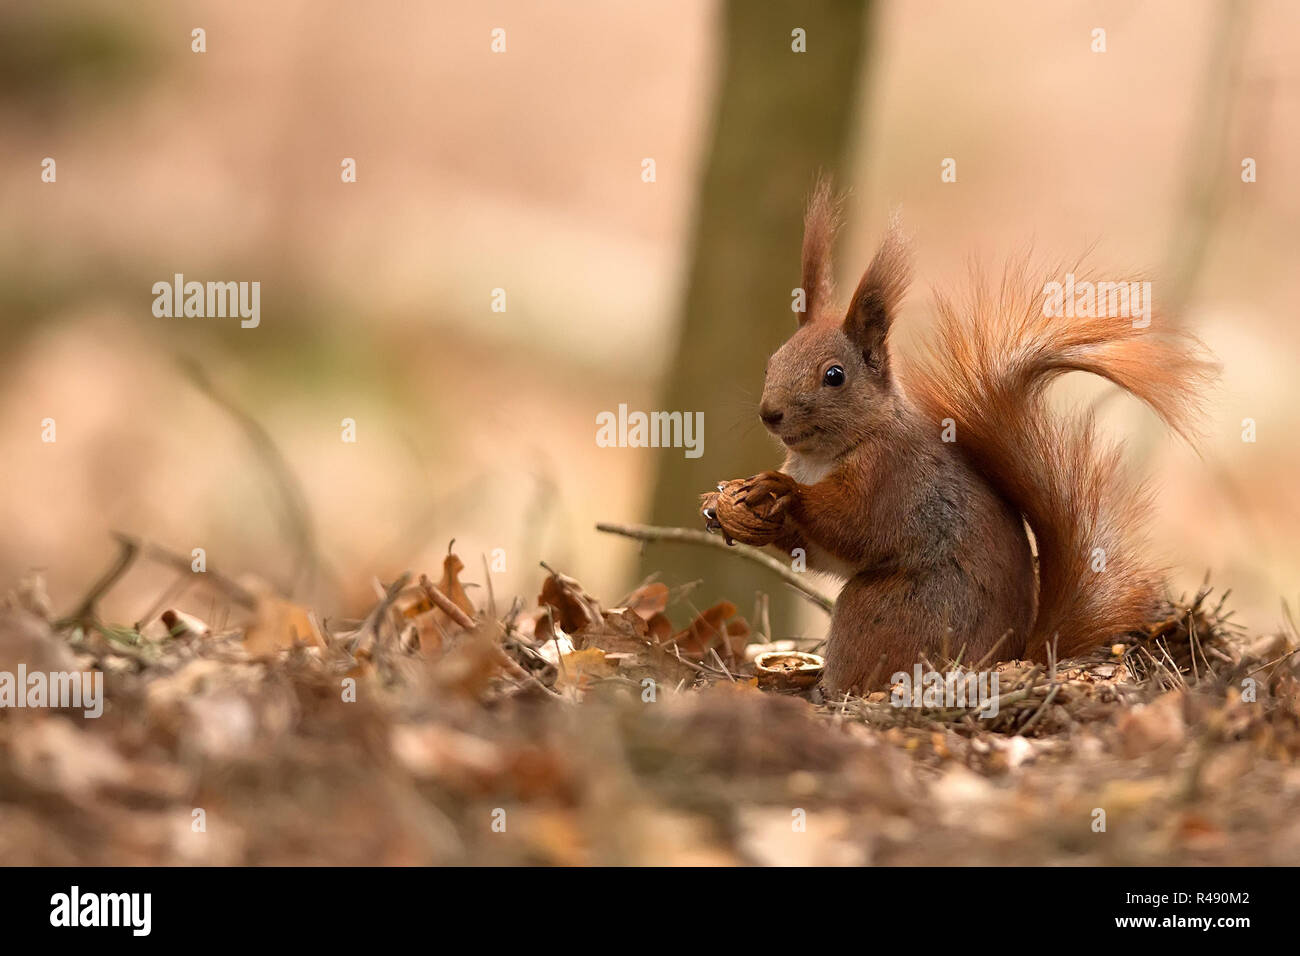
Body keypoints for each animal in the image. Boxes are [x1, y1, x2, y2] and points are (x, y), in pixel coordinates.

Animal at [700, 179, 1216, 695]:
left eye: (834, 376)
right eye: (772, 361)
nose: (770, 413)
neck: (820, 456)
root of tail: (1012, 656)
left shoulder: (889, 475)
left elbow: (852, 526)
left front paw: (783, 490)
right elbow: (813, 550)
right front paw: (724, 508)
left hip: (888, 612)